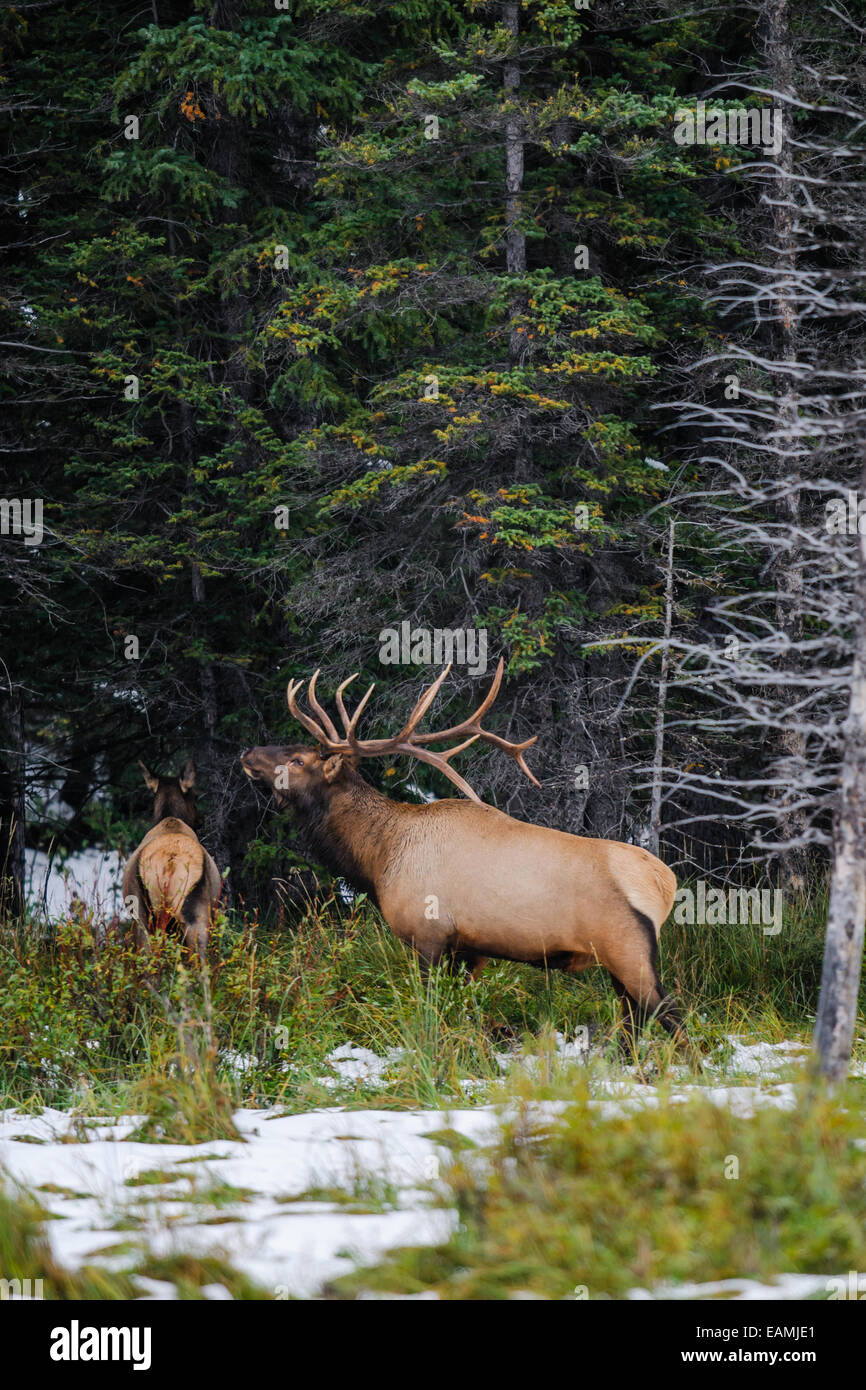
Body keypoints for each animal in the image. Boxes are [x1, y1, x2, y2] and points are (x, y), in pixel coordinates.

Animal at [121, 759, 221, 961]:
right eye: (195, 796)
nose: (201, 819)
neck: (171, 818)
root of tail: (170, 862)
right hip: (196, 910)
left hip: (142, 912)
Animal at [240, 662, 684, 1054]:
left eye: (298, 760)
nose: (248, 752)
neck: (380, 857)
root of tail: (665, 882)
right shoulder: (470, 950)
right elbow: (466, 1013)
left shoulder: (428, 935)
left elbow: (431, 1011)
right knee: (633, 1020)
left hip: (627, 948)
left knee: (671, 1014)